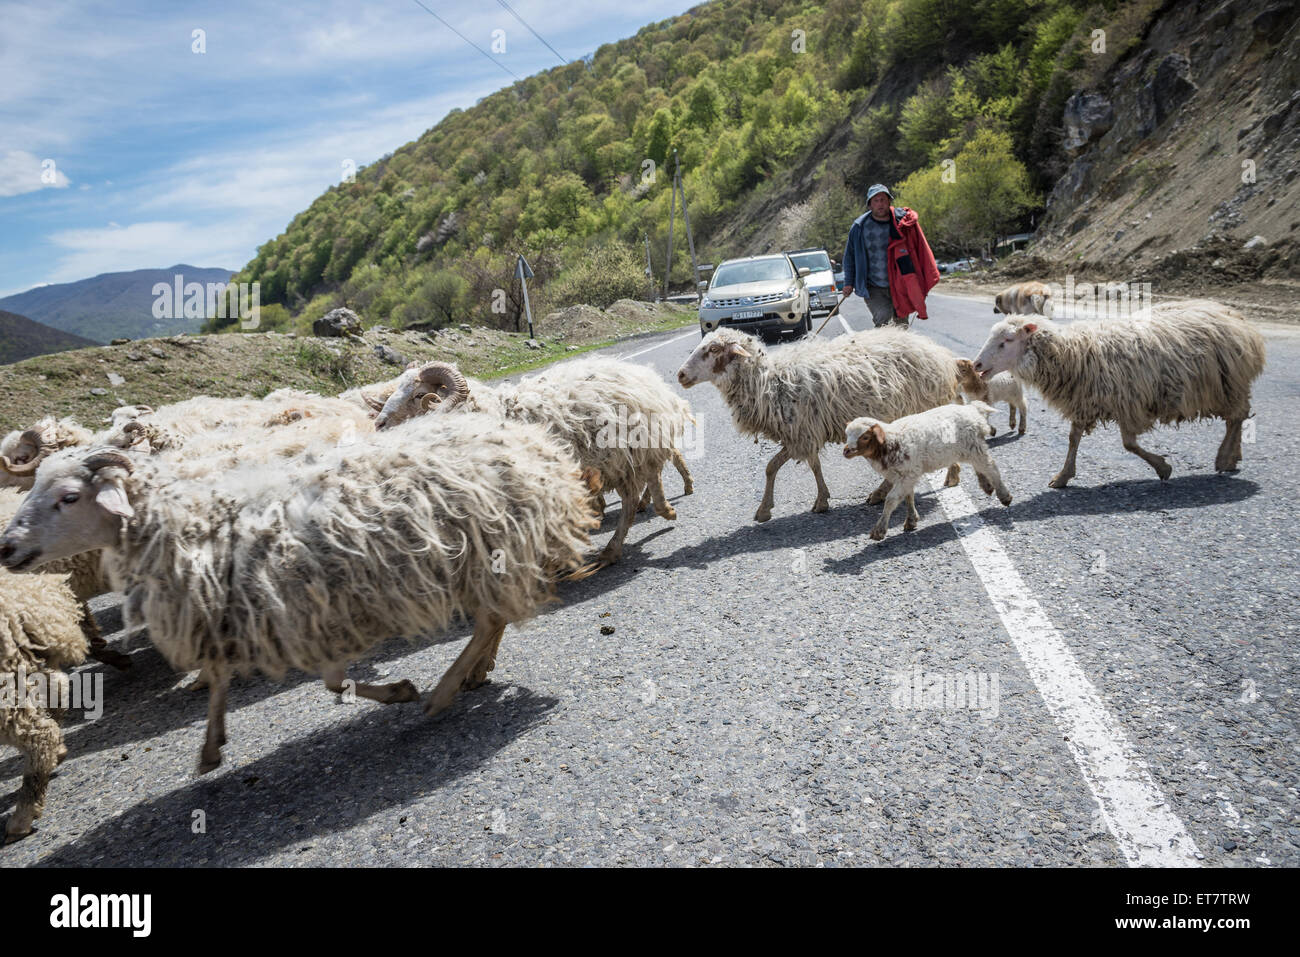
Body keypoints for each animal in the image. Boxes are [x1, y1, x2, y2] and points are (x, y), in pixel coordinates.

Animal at [0, 412, 598, 773]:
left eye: (69, 497)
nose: (6, 546)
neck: (190, 523)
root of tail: (535, 445)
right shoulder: (238, 618)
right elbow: (220, 678)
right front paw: (211, 747)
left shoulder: (300, 617)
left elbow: (334, 681)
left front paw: (400, 691)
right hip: (482, 559)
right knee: (494, 618)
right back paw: (472, 674)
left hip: (489, 550)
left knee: (490, 619)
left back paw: (443, 692)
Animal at [373, 358, 693, 566]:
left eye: (417, 395)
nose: (378, 424)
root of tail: (648, 380)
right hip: (629, 458)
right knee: (648, 480)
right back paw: (658, 513)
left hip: (627, 456)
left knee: (633, 497)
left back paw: (622, 542)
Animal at [675, 326, 961, 522]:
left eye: (713, 350)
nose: (680, 374)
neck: (769, 383)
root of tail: (939, 354)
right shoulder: (803, 432)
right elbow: (807, 466)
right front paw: (821, 500)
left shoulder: (800, 434)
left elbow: (772, 467)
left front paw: (765, 509)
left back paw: (946, 476)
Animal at [844, 402, 1012, 540]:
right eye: (847, 435)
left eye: (865, 437)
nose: (846, 451)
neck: (891, 442)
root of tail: (972, 410)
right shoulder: (906, 475)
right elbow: (908, 497)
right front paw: (911, 520)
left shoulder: (907, 473)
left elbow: (891, 500)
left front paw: (879, 530)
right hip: (967, 450)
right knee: (981, 466)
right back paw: (987, 485)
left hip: (973, 447)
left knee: (991, 467)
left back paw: (1004, 495)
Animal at [971, 300, 1267, 486]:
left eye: (1006, 341)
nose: (977, 365)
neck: (1073, 353)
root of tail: (1235, 317)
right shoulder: (1084, 400)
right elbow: (1073, 439)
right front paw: (1063, 476)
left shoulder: (1128, 402)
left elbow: (1129, 444)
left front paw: (1163, 467)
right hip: (1229, 386)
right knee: (1237, 419)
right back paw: (1235, 455)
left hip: (1229, 384)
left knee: (1236, 417)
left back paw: (1225, 458)